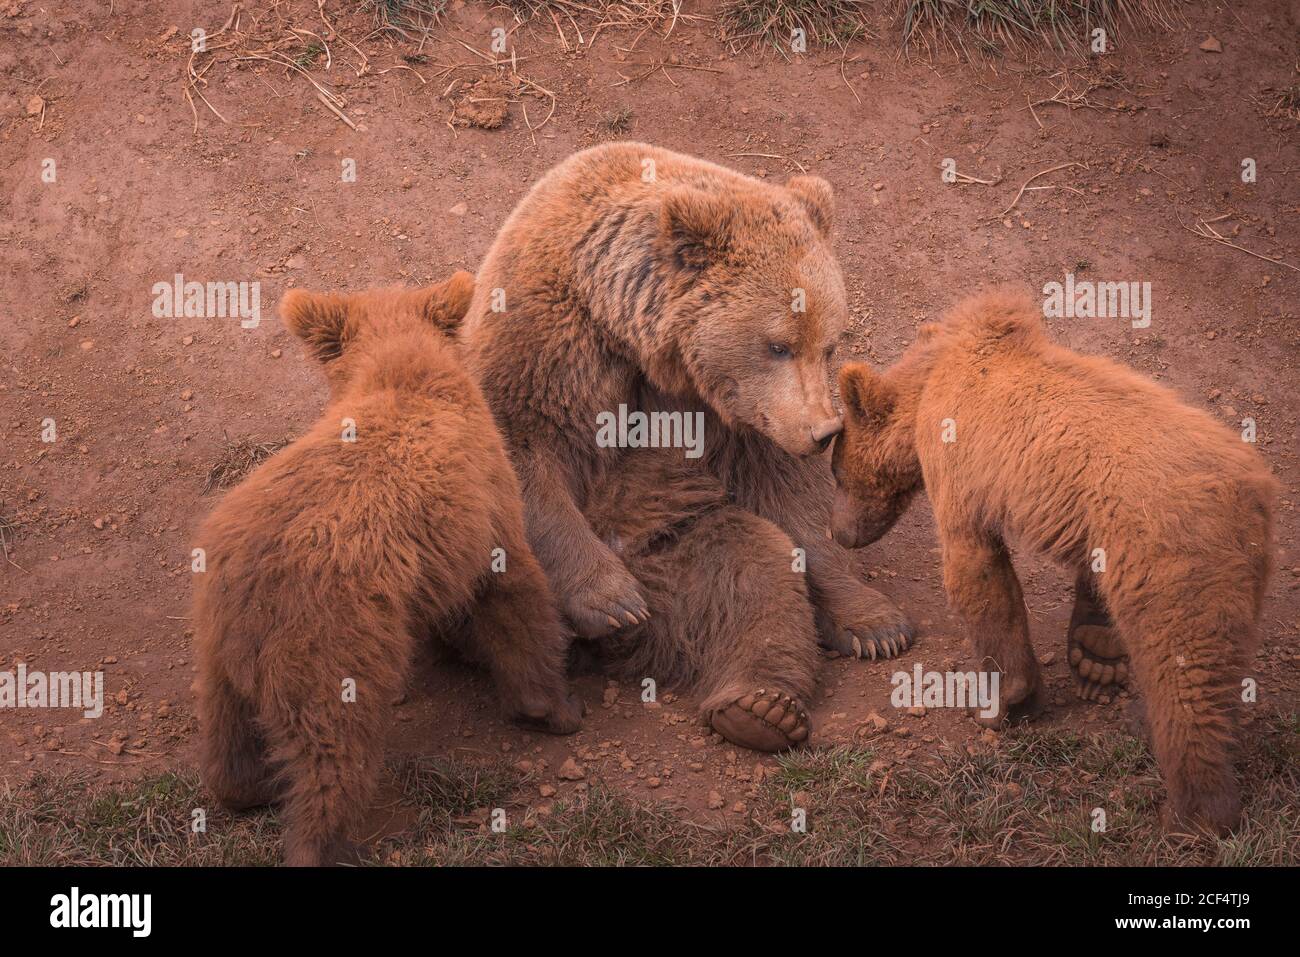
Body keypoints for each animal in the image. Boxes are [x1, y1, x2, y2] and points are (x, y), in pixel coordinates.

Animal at [193, 273, 584, 866]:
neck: (402, 369)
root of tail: (248, 594)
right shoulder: (488, 510)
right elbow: (517, 599)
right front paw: (552, 708)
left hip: (220, 646)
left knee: (228, 731)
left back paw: (243, 789)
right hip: (330, 645)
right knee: (334, 759)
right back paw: (322, 843)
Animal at [459, 142, 912, 752]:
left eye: (829, 343)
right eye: (778, 344)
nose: (823, 432)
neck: (633, 334)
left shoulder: (735, 417)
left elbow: (790, 501)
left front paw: (877, 624)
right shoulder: (547, 340)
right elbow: (521, 447)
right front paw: (612, 601)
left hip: (681, 549)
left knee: (753, 571)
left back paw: (761, 707)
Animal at [828, 287, 1277, 835]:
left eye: (837, 471)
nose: (837, 531)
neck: (930, 380)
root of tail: (1256, 494)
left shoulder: (956, 460)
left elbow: (975, 569)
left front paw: (1002, 699)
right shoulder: (1097, 523)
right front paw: (1092, 658)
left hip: (1173, 557)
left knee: (1183, 677)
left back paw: (1194, 814)